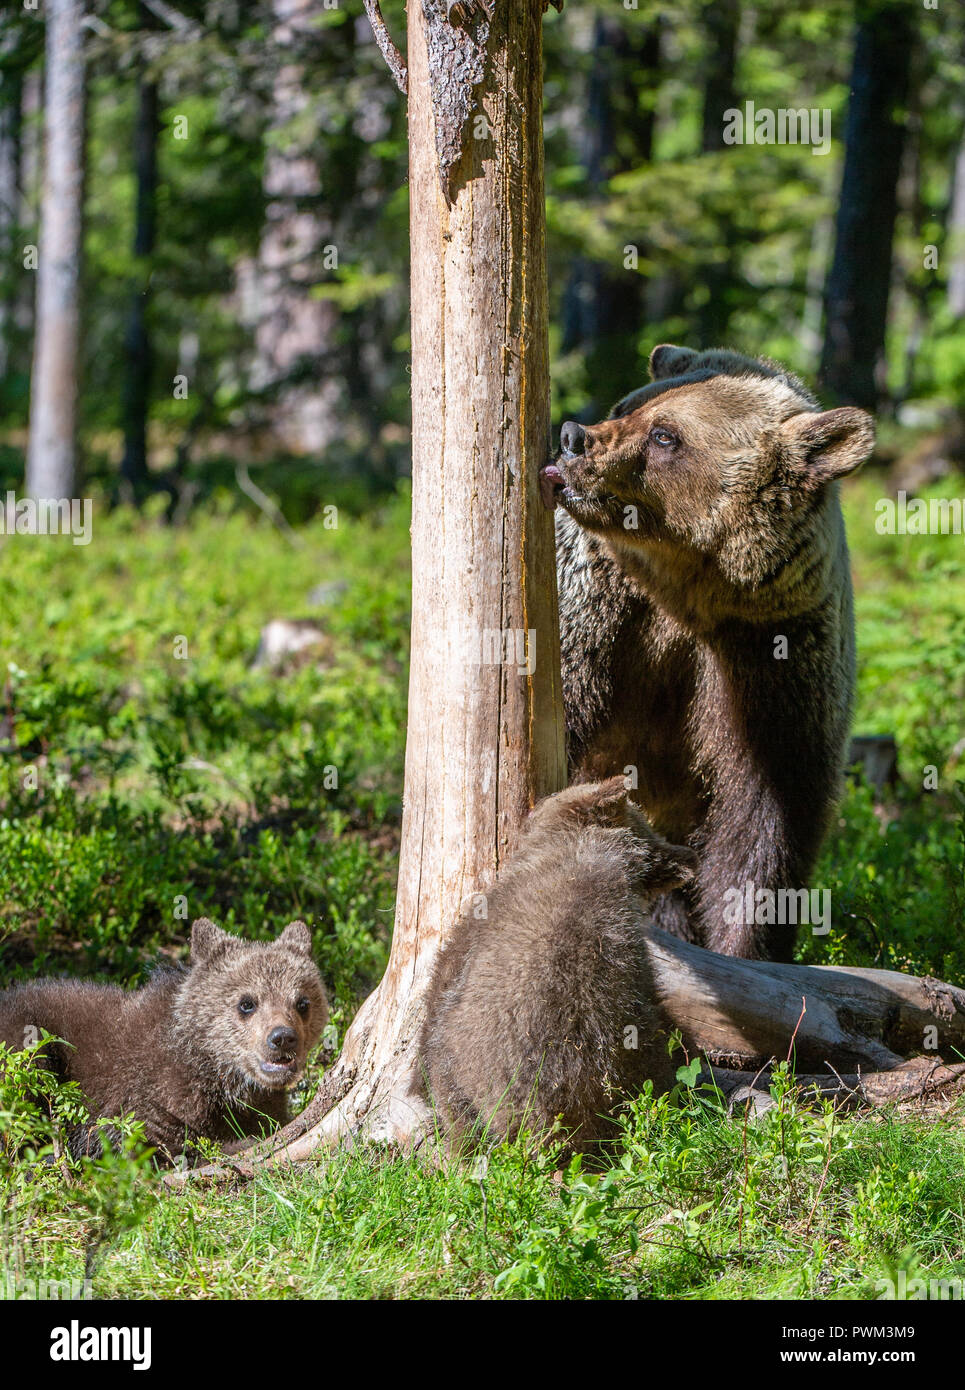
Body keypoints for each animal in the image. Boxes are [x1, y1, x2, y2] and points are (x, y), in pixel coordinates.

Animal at [540, 345, 876, 962]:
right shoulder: (595, 622)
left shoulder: (771, 662)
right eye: (628, 405)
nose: (574, 437)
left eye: (665, 434)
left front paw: (745, 948)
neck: (687, 595)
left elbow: (764, 827)